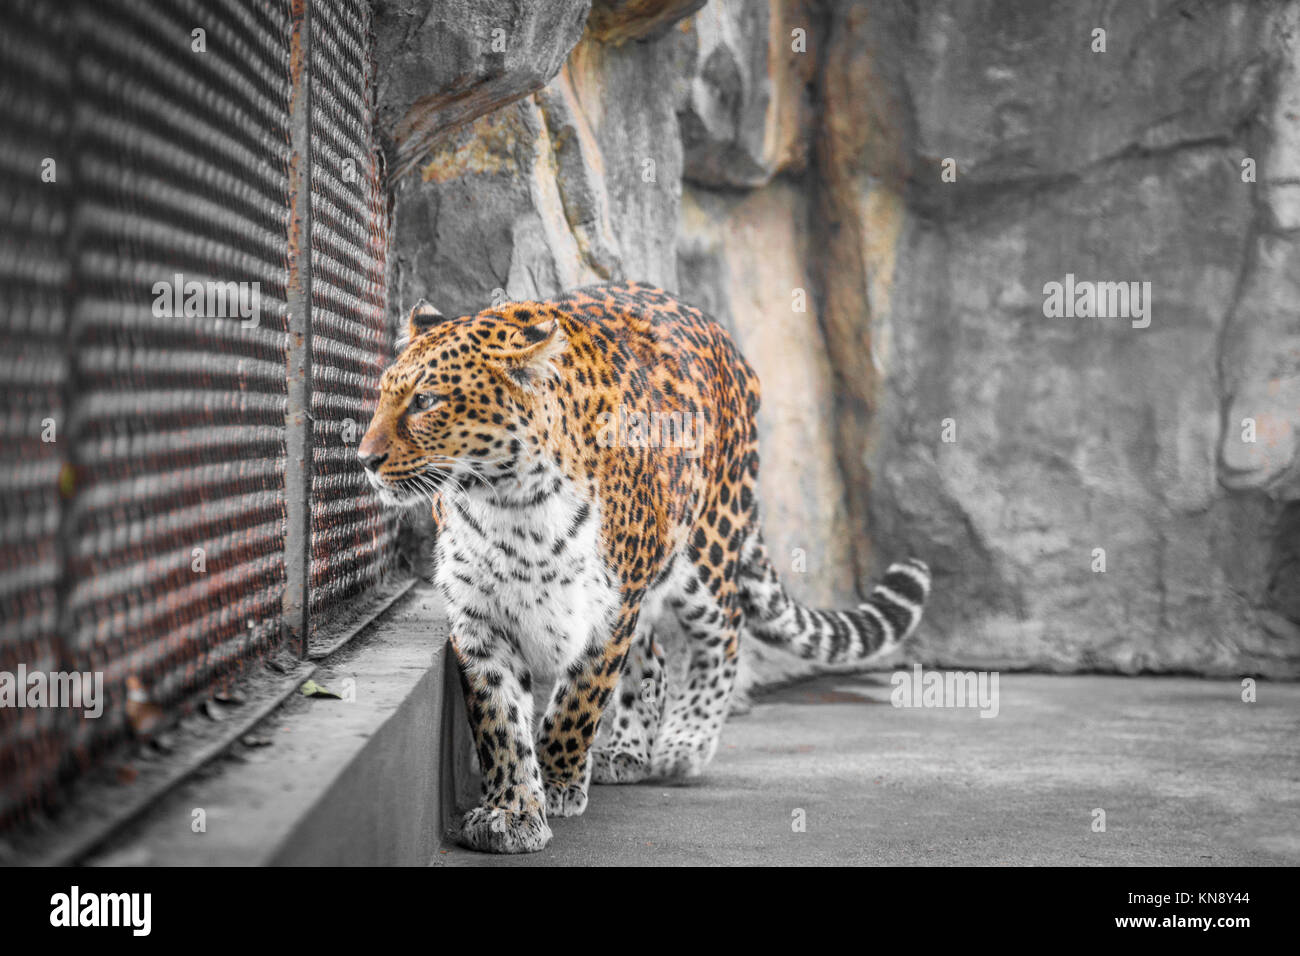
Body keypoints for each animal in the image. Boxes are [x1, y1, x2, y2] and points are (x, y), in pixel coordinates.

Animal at [357, 280, 931, 854]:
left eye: (425, 401)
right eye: (383, 395)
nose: (364, 459)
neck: (512, 505)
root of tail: (717, 332)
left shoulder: (611, 609)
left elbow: (579, 704)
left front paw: (558, 781)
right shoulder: (479, 617)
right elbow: (500, 721)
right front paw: (512, 811)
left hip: (706, 548)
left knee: (725, 632)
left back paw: (683, 744)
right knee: (653, 658)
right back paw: (627, 752)